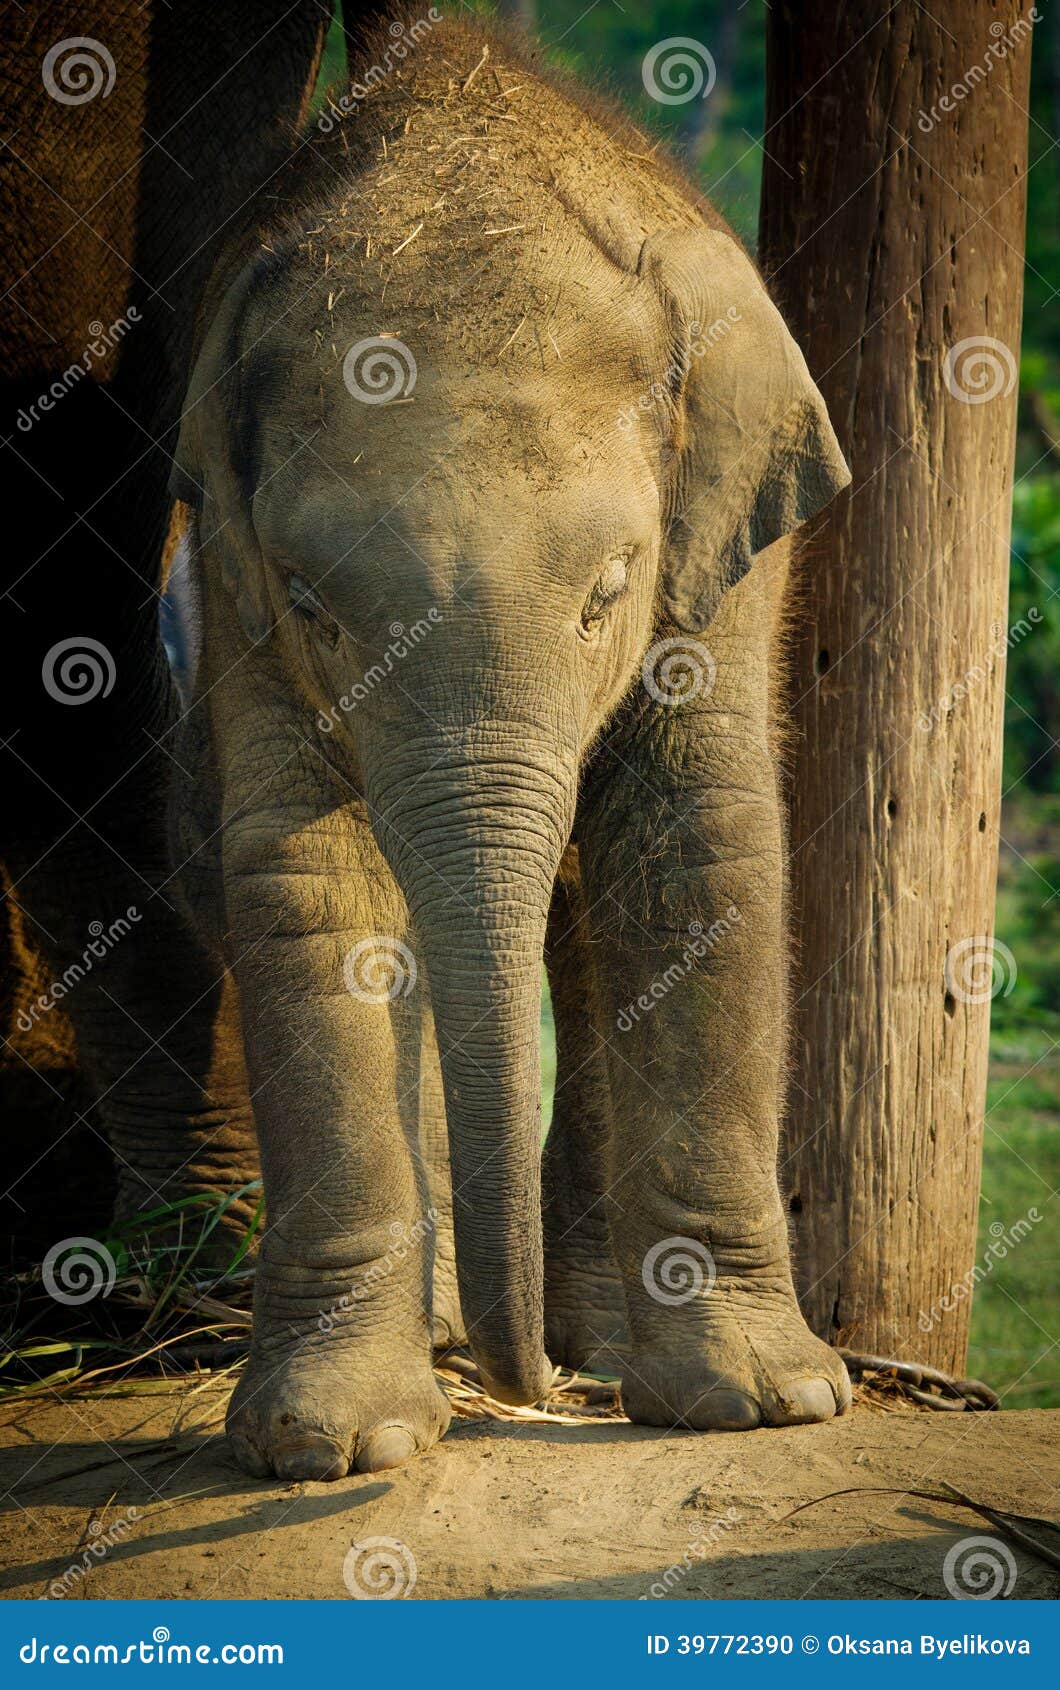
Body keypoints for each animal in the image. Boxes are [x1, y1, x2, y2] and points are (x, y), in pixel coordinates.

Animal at [169, 10, 854, 1481]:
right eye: (313, 604)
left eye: (609, 588)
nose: (523, 1385)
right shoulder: (231, 571)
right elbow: (309, 878)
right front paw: (334, 1443)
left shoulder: (721, 542)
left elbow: (697, 848)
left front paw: (767, 1402)